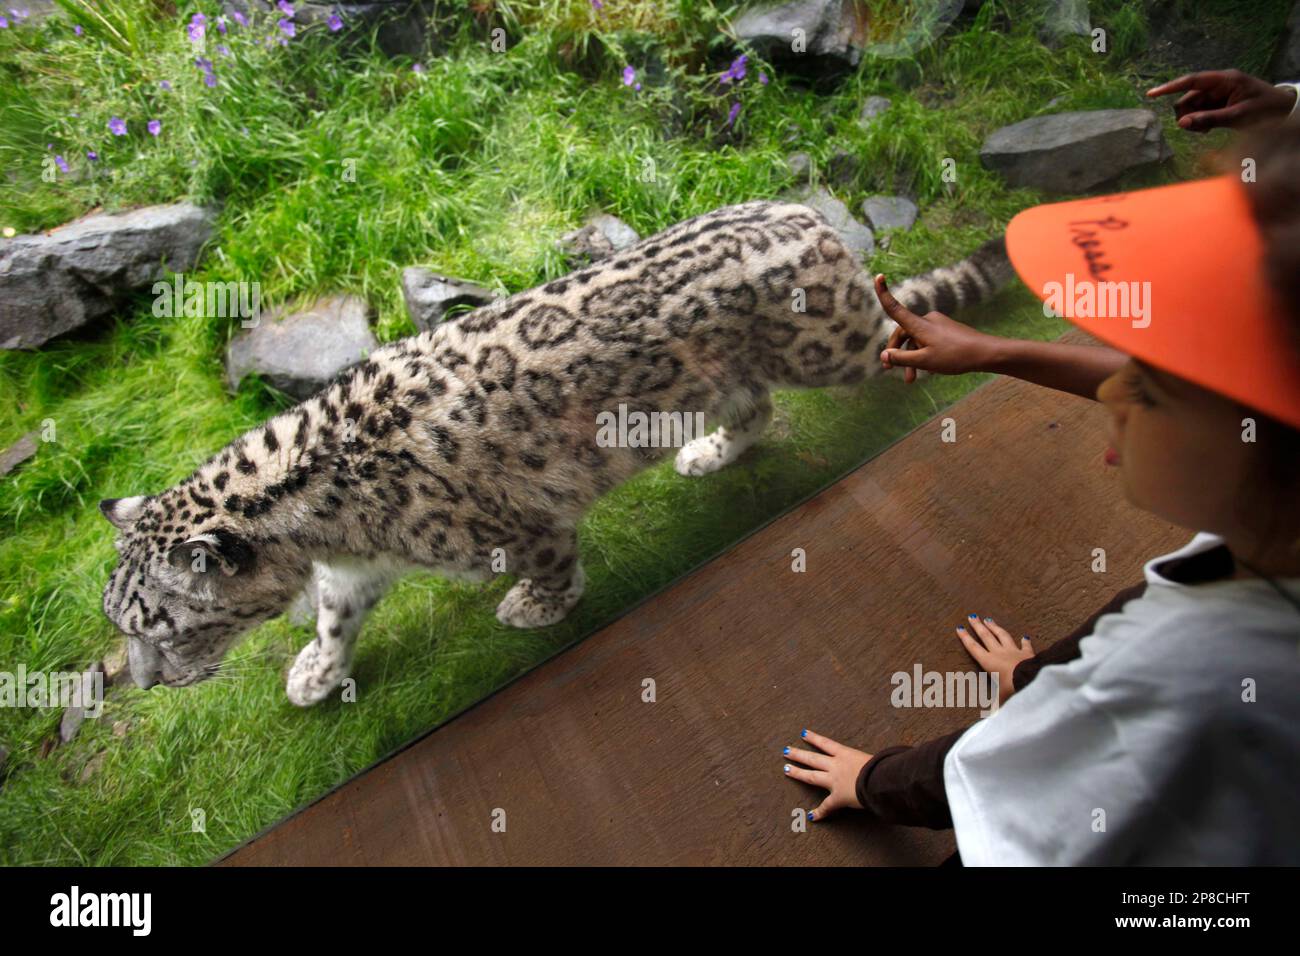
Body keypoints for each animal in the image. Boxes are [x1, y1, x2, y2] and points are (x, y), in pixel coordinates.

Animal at [99, 199, 1013, 706]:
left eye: (162, 629)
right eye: (120, 623)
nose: (141, 683)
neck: (323, 525)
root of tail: (807, 216)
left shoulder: (517, 524)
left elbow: (550, 561)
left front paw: (536, 607)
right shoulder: (355, 571)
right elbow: (335, 615)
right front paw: (317, 673)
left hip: (829, 348)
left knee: (892, 331)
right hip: (727, 379)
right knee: (754, 408)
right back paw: (707, 455)